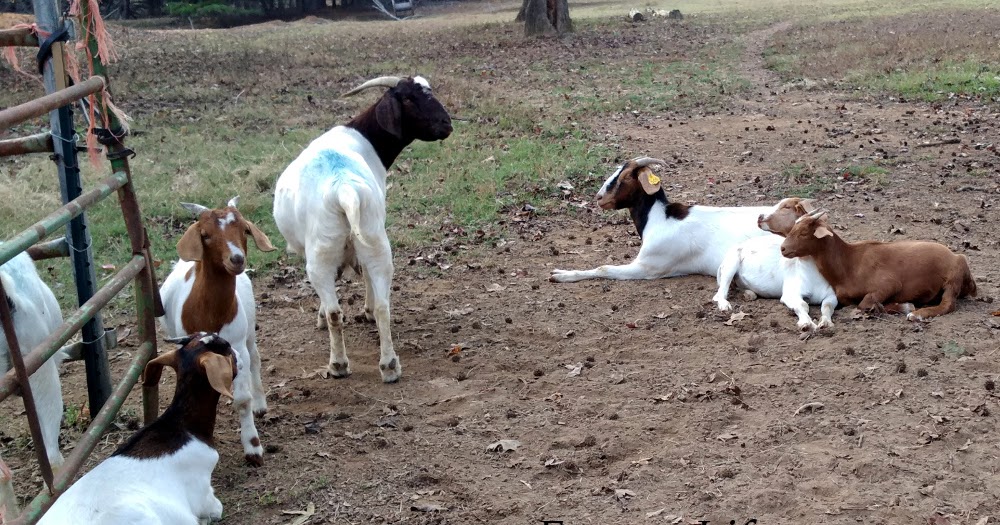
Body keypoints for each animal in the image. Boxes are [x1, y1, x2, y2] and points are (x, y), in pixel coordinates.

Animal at [158, 197, 275, 466]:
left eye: (245, 229)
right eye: (205, 235)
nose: (236, 259)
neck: (212, 313)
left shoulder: (237, 348)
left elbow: (243, 399)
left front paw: (253, 447)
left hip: (249, 333)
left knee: (256, 359)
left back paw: (260, 404)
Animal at [273, 75, 452, 383]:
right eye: (409, 98)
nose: (447, 124)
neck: (363, 139)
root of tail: (344, 189)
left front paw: (321, 316)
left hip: (320, 253)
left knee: (335, 312)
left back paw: (338, 364)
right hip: (375, 238)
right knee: (383, 305)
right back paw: (389, 365)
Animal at [550, 157, 773, 282]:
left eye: (624, 178)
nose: (599, 198)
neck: (660, 218)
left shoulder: (648, 266)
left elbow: (603, 268)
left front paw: (561, 276)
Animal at [712, 197, 838, 331]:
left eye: (786, 207)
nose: (760, 217)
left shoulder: (832, 296)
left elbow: (827, 306)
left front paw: (826, 323)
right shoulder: (790, 293)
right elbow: (803, 305)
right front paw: (806, 324)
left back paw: (749, 294)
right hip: (730, 265)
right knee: (720, 292)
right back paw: (725, 306)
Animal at [780, 210, 977, 320]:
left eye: (804, 233)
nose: (783, 248)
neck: (849, 263)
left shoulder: (889, 284)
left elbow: (865, 303)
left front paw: (906, 307)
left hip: (953, 276)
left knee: (948, 304)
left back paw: (917, 315)